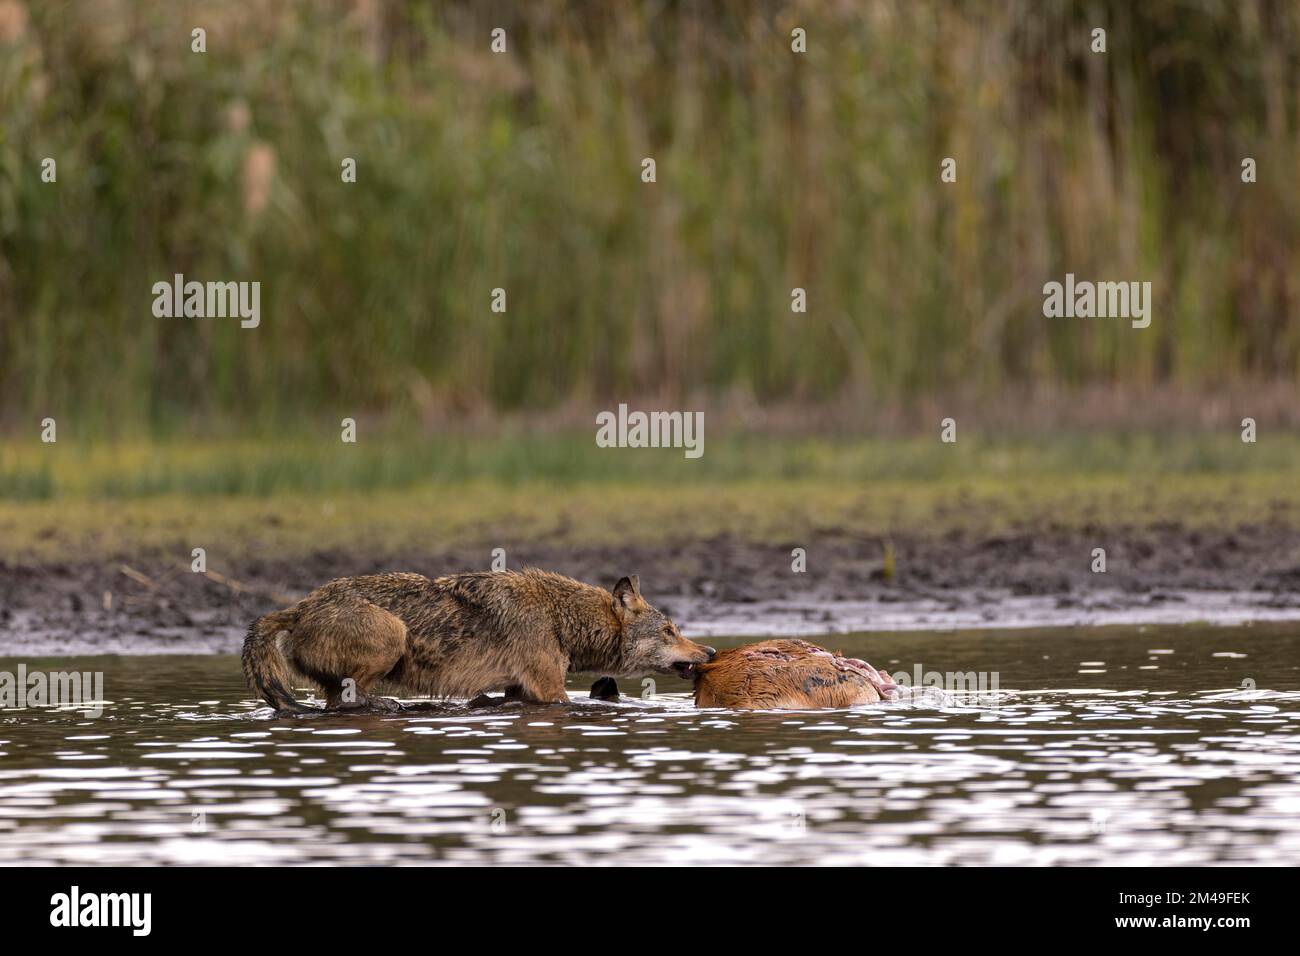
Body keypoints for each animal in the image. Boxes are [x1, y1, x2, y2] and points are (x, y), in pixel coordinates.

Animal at [241, 569, 714, 709]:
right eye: (670, 630)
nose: (710, 650)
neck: (560, 616)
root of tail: (296, 608)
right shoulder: (551, 692)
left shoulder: (520, 691)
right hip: (393, 634)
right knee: (349, 697)